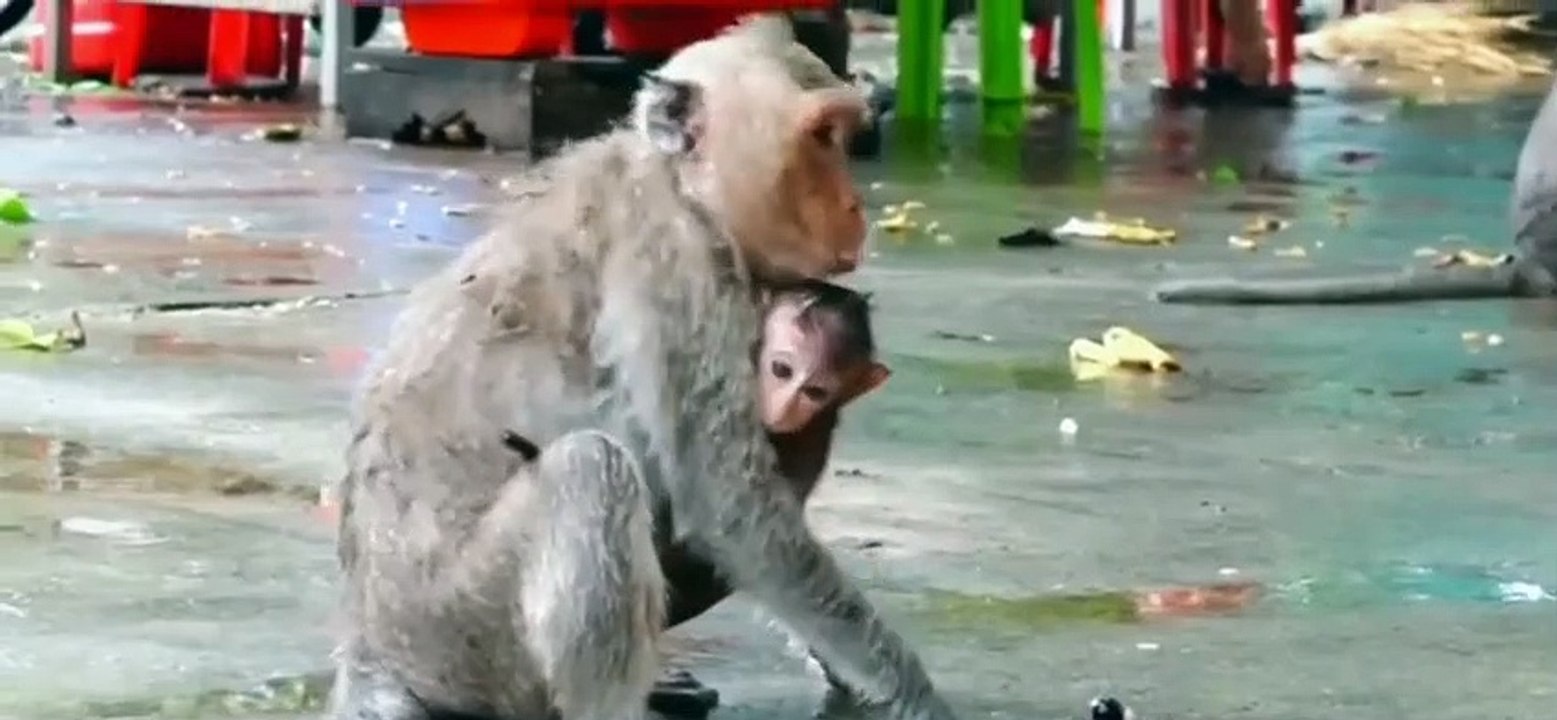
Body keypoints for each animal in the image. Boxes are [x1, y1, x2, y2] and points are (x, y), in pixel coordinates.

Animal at [329, 15, 959, 720]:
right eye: (822, 137)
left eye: (845, 135)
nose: (854, 206)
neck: (682, 185)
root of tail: (371, 650)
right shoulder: (680, 267)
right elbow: (730, 505)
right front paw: (908, 687)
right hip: (465, 635)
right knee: (591, 469)